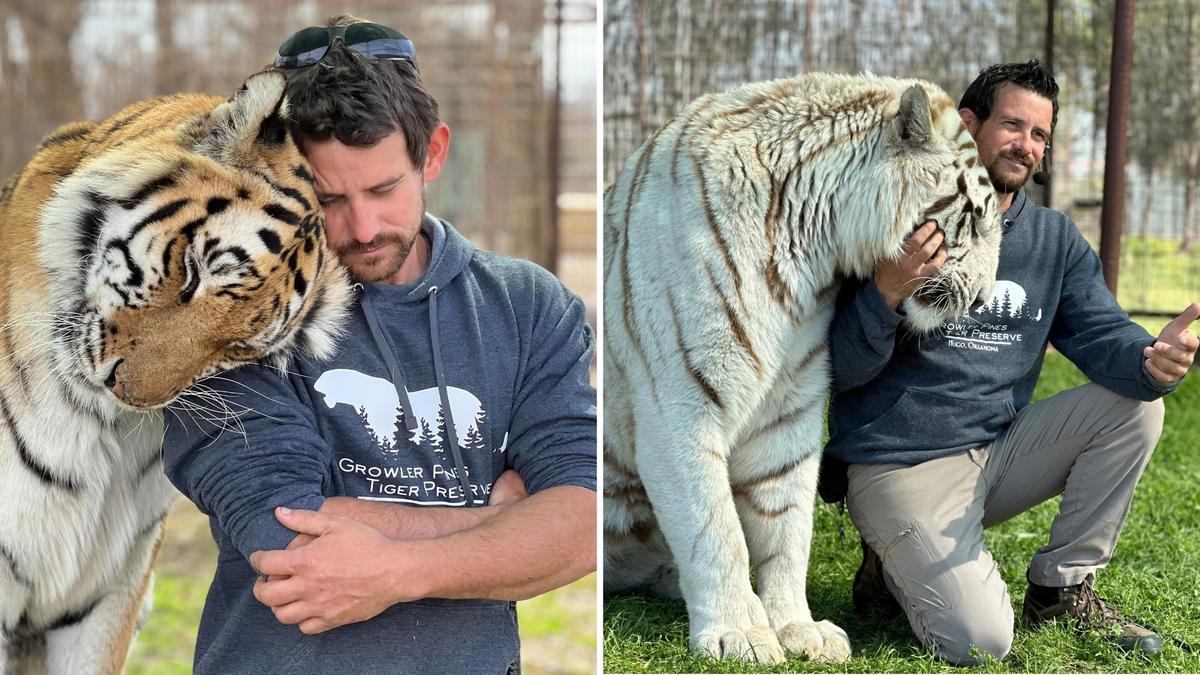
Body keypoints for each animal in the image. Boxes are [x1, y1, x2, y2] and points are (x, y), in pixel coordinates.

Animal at [603, 73, 1003, 665]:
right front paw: (739, 634)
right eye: (974, 219)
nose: (980, 301)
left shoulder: (789, 407)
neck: (805, 249)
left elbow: (787, 527)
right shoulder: (681, 406)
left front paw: (797, 628)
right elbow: (715, 528)